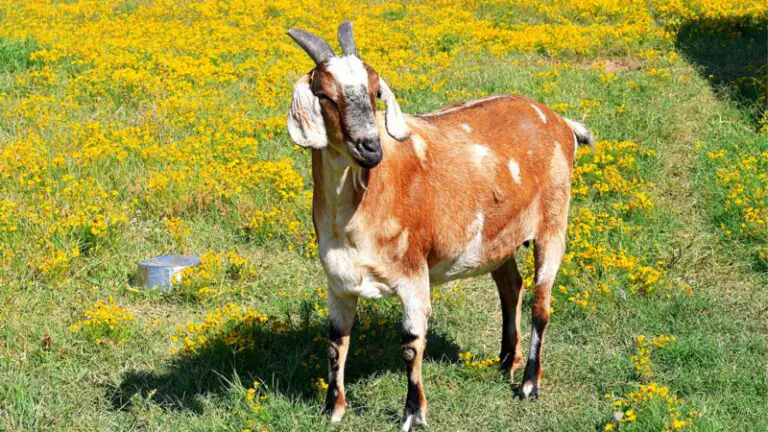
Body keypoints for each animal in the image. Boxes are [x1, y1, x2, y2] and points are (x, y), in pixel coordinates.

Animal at [286, 22, 595, 431]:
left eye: (375, 90)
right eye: (324, 94)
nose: (370, 147)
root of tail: (559, 121)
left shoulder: (413, 274)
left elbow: (411, 343)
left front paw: (413, 414)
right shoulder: (338, 279)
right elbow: (337, 343)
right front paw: (332, 410)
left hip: (553, 225)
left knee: (541, 303)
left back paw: (529, 384)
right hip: (497, 240)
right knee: (511, 286)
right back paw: (505, 364)